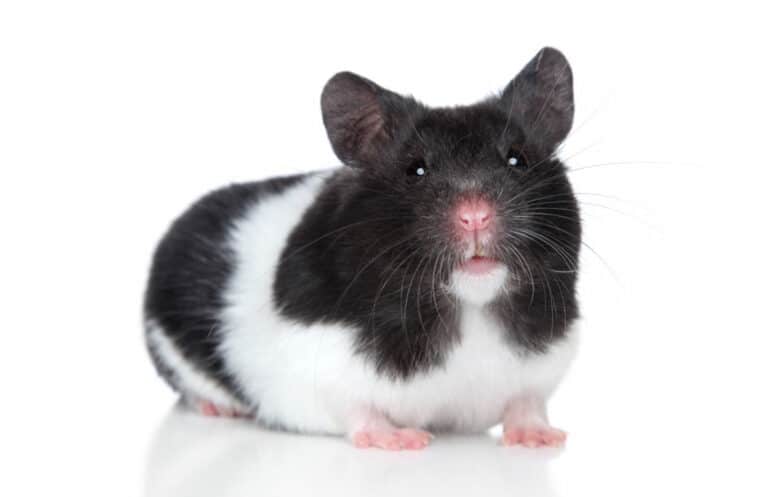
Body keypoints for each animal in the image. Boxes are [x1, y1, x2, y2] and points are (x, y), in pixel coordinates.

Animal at [144, 47, 581, 450]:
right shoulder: (317, 367)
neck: (469, 307)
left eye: (517, 160)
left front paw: (544, 439)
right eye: (416, 170)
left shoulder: (542, 362)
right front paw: (406, 441)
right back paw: (219, 408)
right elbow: (359, 411)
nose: (475, 217)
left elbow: (527, 402)